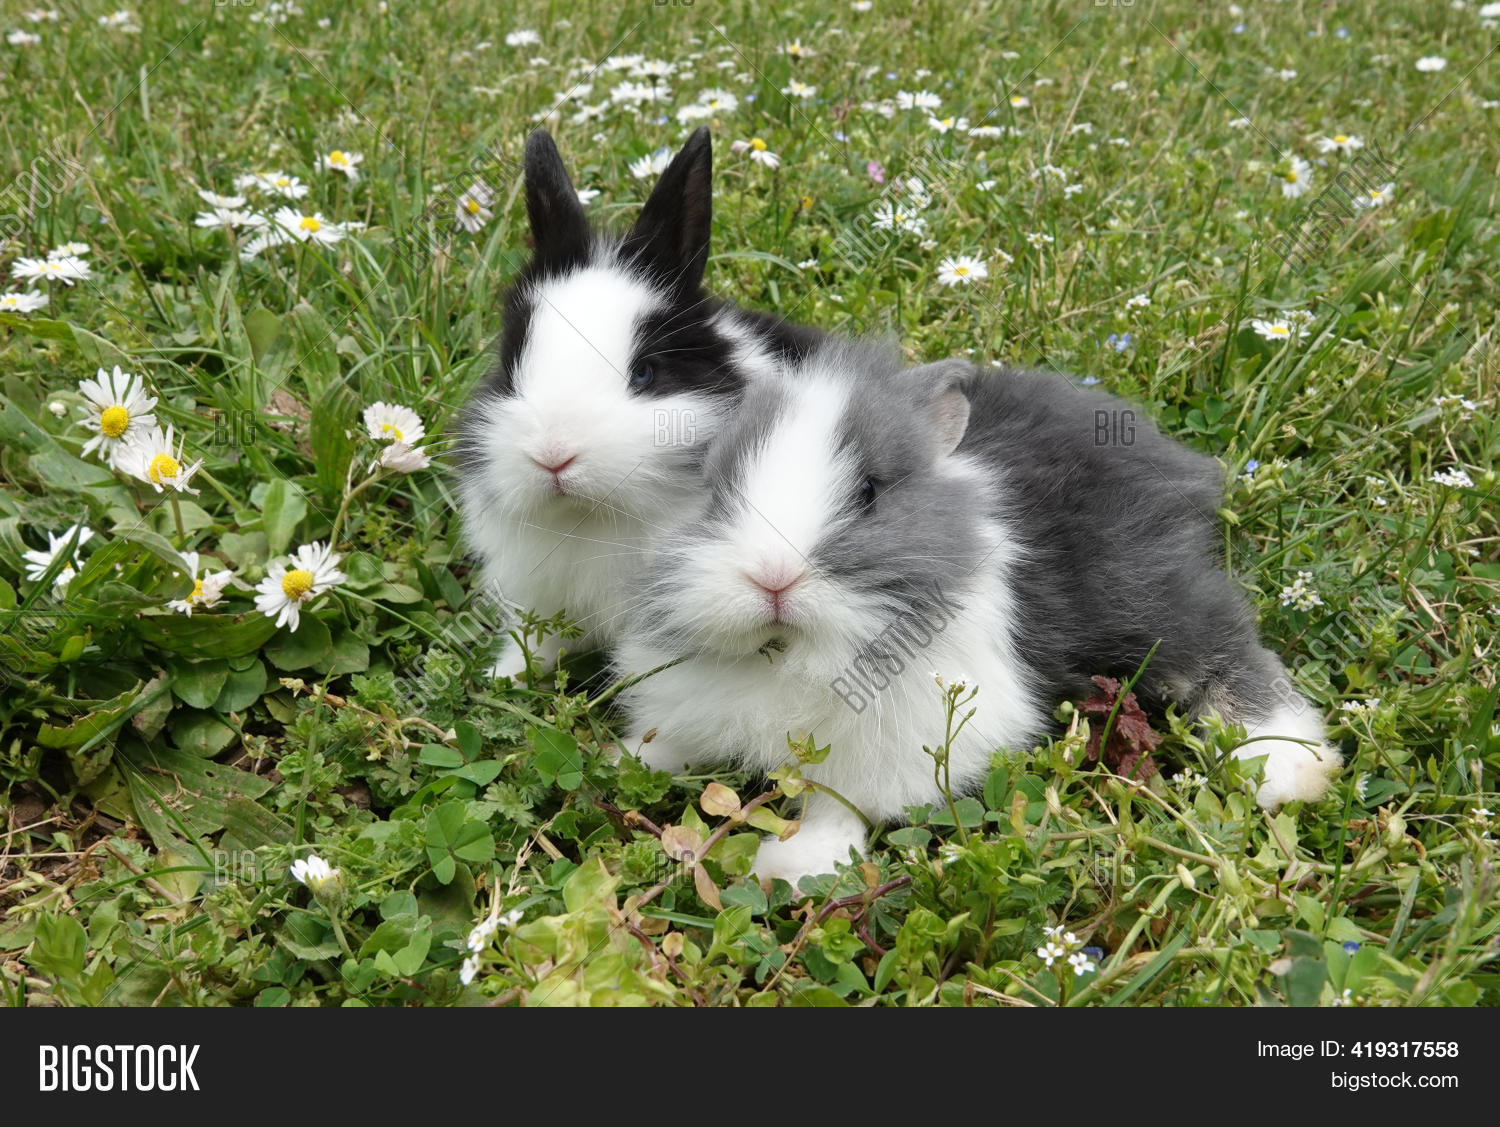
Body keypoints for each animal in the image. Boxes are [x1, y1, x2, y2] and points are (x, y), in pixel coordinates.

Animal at [456, 126, 825, 679]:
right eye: (510, 363)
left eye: (645, 372)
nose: (552, 457)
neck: (593, 518)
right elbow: (537, 642)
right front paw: (507, 676)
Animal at [612, 338, 1341, 886]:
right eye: (717, 492)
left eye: (869, 493)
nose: (773, 577)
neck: (790, 652)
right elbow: (667, 739)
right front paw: (632, 762)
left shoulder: (898, 742)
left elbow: (841, 802)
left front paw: (793, 869)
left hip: (1147, 593)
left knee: (1227, 649)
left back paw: (1289, 771)